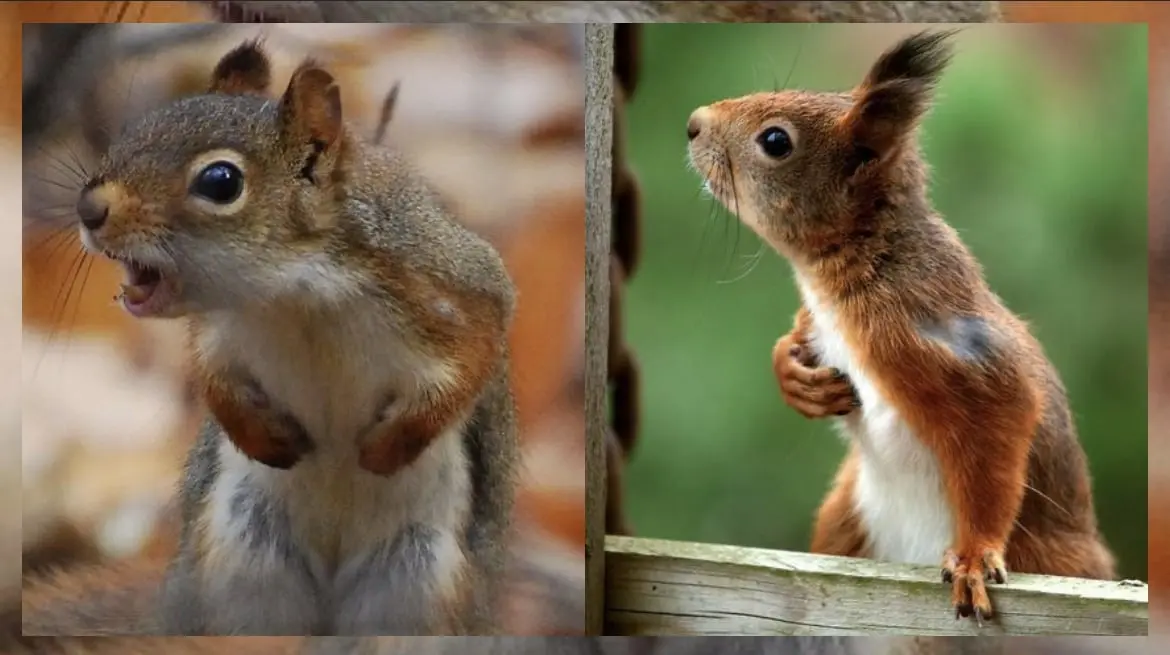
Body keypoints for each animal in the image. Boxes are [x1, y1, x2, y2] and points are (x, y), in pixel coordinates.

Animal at [71, 40, 519, 634]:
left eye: (220, 182)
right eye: (133, 131)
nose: (89, 209)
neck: (294, 296)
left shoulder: (448, 285)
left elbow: (477, 352)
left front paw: (388, 446)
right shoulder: (221, 331)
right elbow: (213, 379)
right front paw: (263, 437)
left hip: (417, 582)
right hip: (245, 556)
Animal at [685, 30, 1116, 623]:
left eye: (775, 140)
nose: (693, 122)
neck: (861, 263)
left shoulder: (939, 335)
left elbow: (1002, 428)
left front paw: (974, 558)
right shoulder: (822, 319)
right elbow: (797, 337)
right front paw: (795, 376)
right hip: (846, 518)